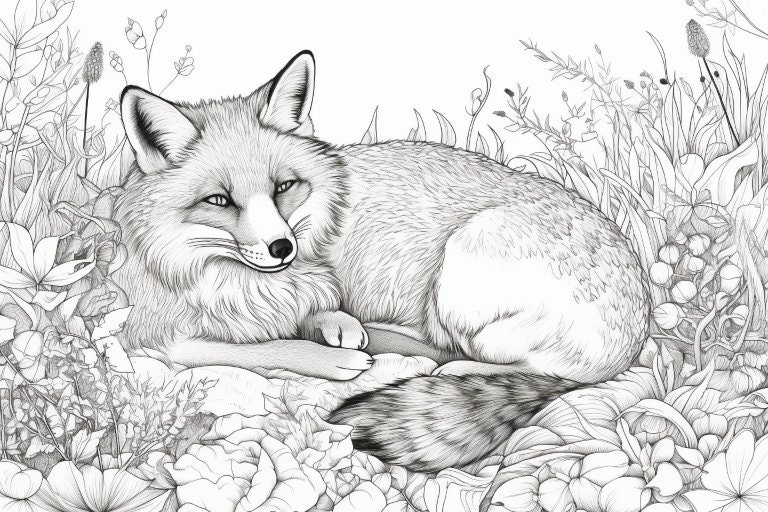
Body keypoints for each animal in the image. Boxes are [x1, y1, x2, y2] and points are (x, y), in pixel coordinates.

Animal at [113, 50, 649, 473]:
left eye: (284, 187)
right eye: (219, 201)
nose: (282, 248)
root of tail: (629, 345)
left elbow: (274, 341)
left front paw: (335, 338)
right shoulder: (161, 338)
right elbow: (268, 344)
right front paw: (331, 341)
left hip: (459, 271)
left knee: (493, 361)